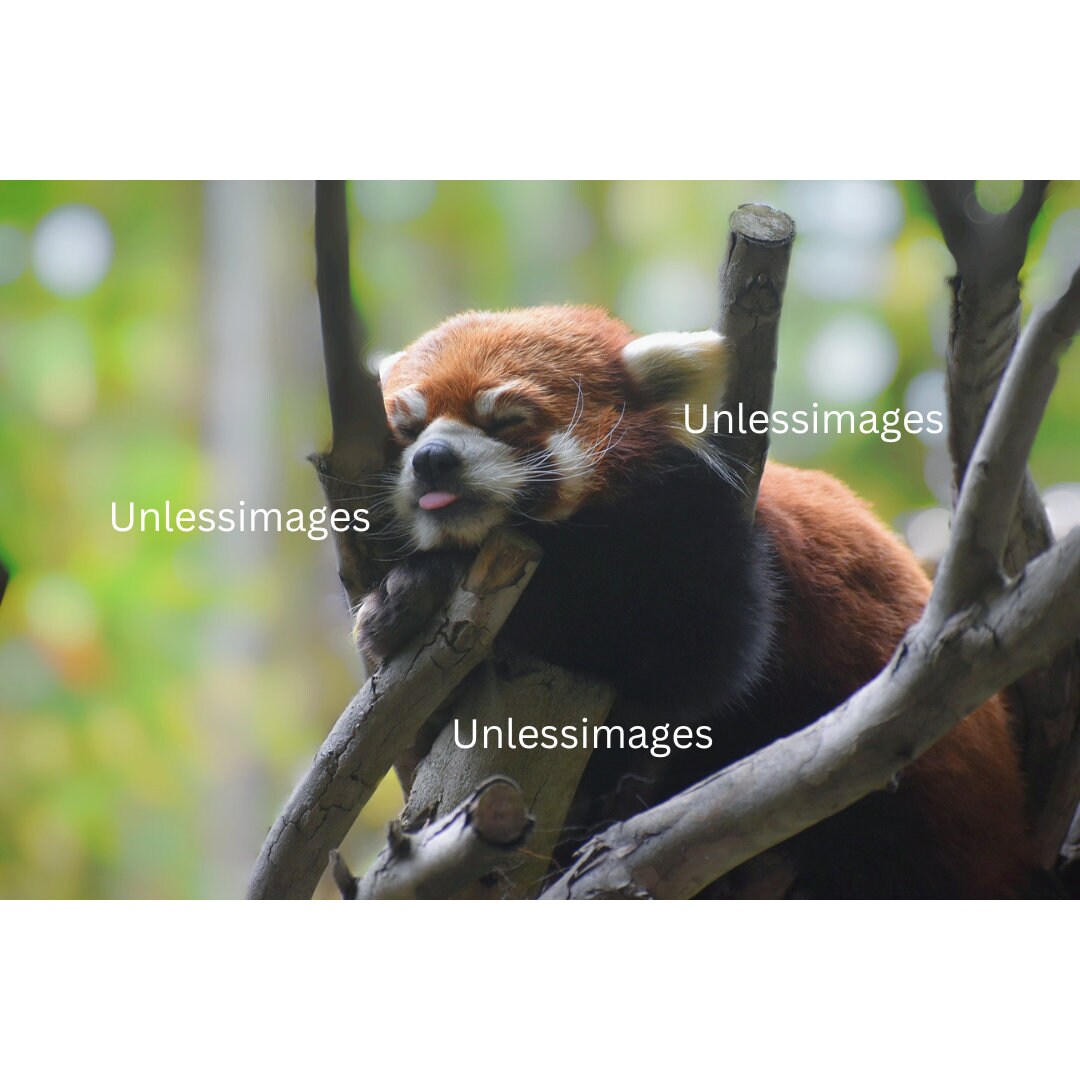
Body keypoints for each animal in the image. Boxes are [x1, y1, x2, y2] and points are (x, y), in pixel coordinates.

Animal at [357, 304, 1035, 898]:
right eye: (408, 429)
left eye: (506, 420)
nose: (432, 460)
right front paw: (401, 600)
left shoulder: (716, 538)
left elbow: (697, 655)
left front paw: (434, 585)